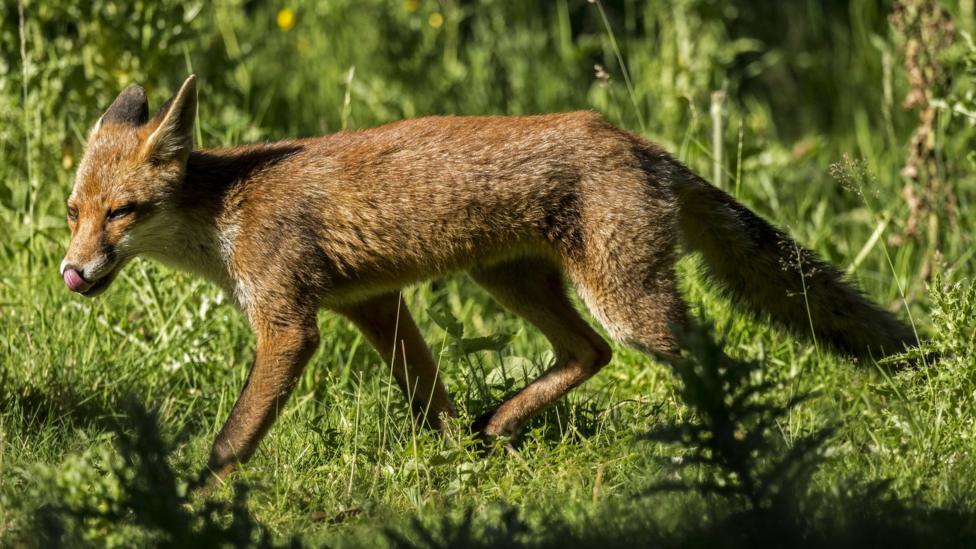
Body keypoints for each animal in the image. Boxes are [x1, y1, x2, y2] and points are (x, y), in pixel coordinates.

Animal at [62, 75, 918, 487]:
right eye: (74, 211)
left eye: (122, 213)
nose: (71, 272)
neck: (227, 214)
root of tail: (635, 140)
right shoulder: (374, 305)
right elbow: (430, 404)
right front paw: (453, 469)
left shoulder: (290, 325)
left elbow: (234, 434)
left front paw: (197, 494)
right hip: (512, 282)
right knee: (588, 355)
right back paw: (500, 424)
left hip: (628, 304)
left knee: (710, 357)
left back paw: (739, 443)